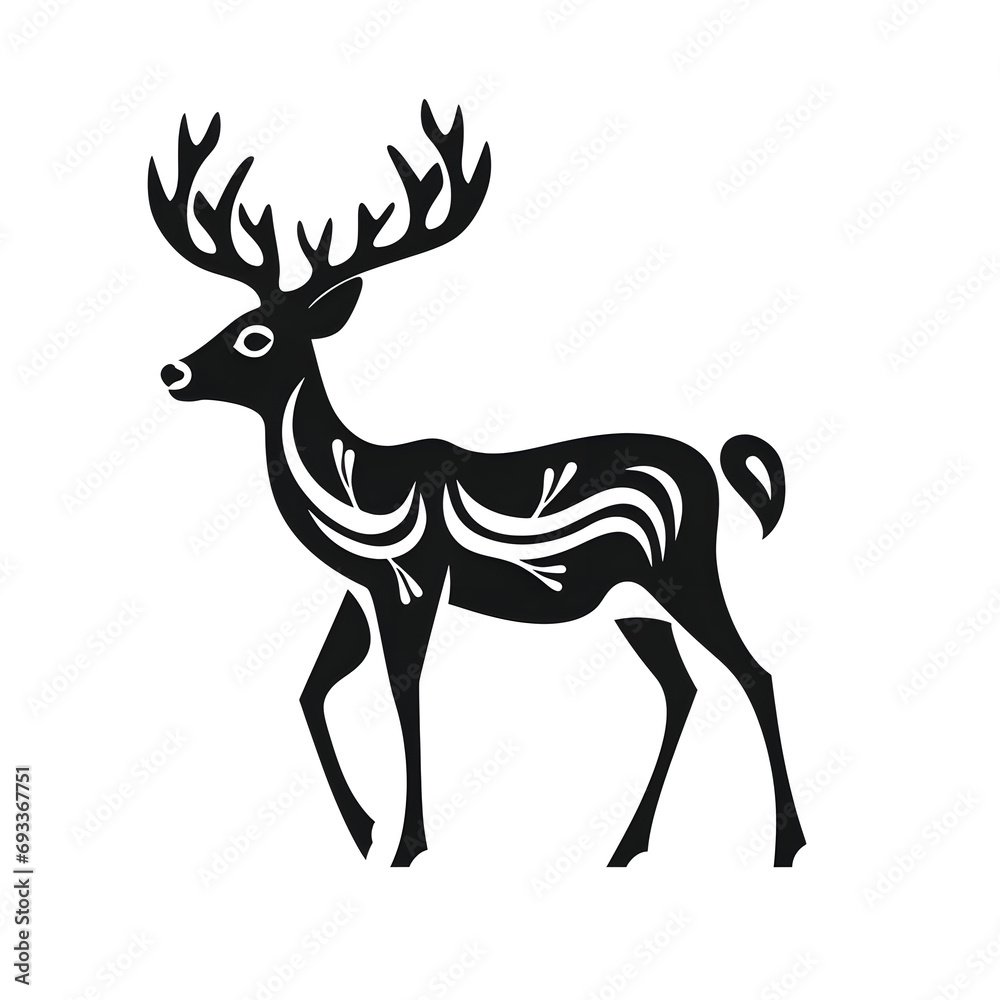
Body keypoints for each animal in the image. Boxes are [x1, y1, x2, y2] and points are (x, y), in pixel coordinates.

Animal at [148, 105, 805, 868]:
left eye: (256, 338)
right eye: (230, 320)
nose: (173, 371)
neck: (351, 489)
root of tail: (715, 466)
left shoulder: (416, 576)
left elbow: (405, 694)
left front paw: (408, 845)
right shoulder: (360, 590)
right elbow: (312, 690)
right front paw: (362, 829)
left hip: (686, 570)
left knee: (753, 672)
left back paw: (785, 844)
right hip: (633, 605)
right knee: (683, 687)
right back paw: (626, 846)